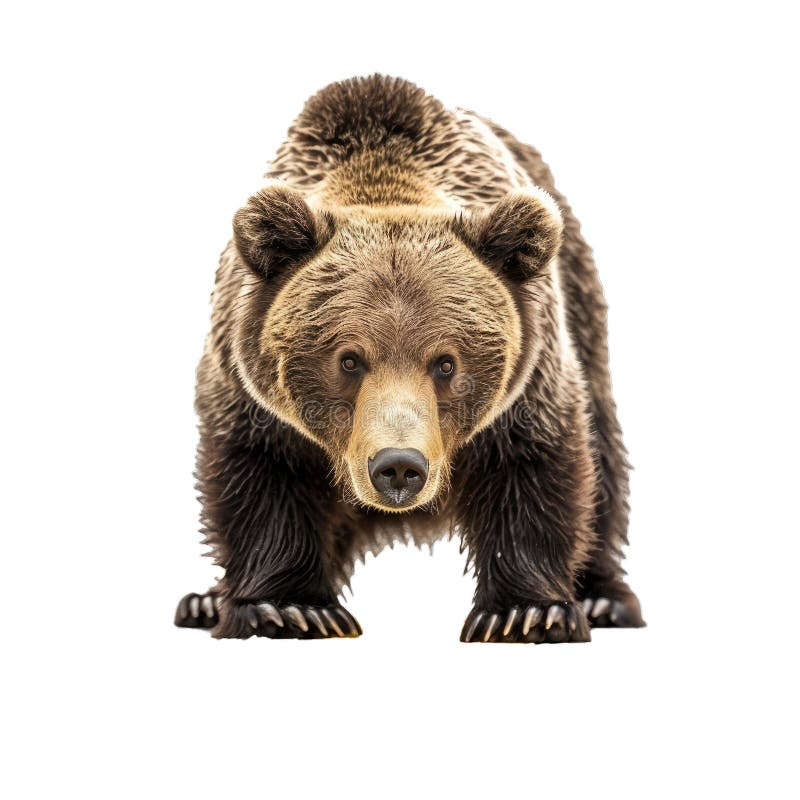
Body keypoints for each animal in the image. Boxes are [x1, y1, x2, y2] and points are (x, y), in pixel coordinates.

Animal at [174, 74, 645, 643]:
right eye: (348, 360)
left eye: (446, 363)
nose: (398, 467)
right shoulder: (251, 392)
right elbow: (263, 477)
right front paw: (288, 609)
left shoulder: (530, 381)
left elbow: (534, 467)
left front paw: (526, 613)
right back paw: (202, 601)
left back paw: (603, 599)